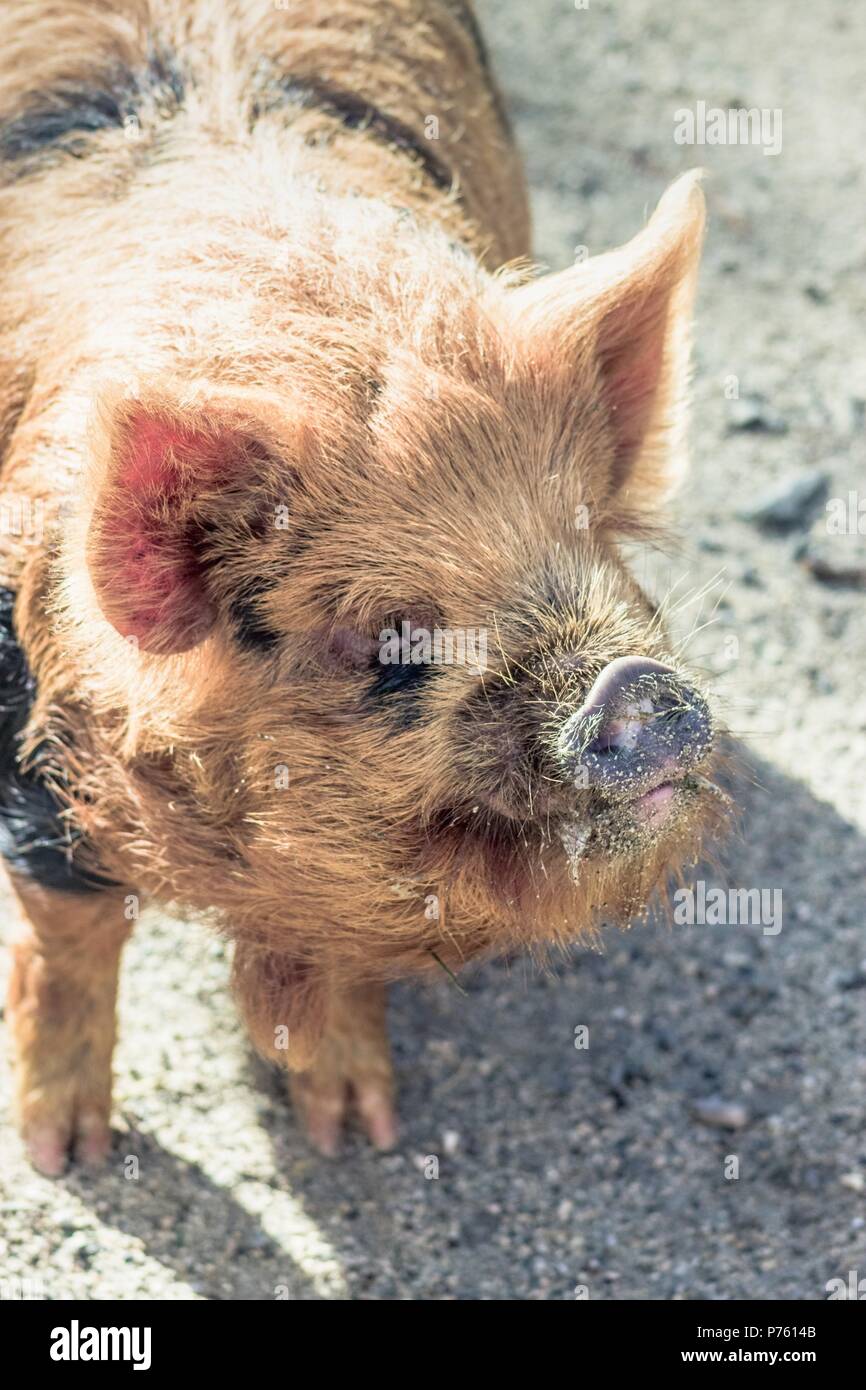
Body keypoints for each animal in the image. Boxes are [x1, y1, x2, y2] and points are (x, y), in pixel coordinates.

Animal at [0, 0, 725, 1173]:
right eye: (389, 636)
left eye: (589, 543)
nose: (637, 686)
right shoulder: (27, 728)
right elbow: (68, 931)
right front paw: (67, 1157)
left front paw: (359, 1134)